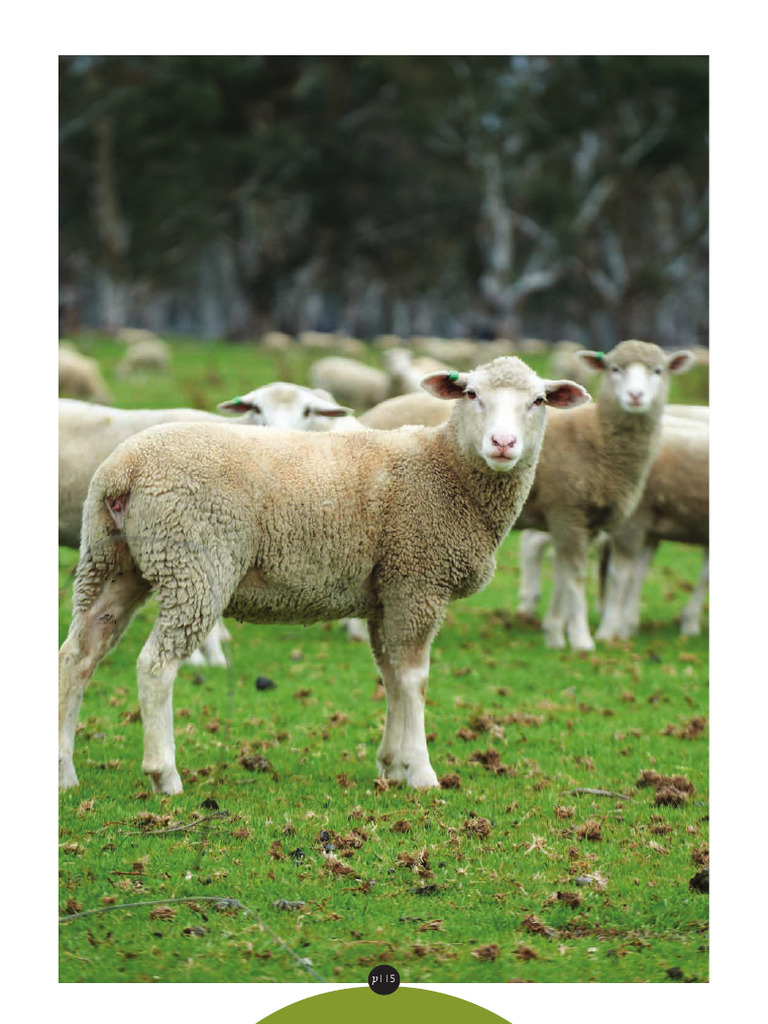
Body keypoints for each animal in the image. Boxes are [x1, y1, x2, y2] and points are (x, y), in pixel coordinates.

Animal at [58, 357, 590, 793]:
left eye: (538, 401)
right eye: (472, 394)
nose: (503, 443)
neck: (446, 470)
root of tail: (125, 469)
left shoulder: (388, 590)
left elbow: (390, 675)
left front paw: (391, 765)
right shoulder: (418, 580)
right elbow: (414, 679)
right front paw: (421, 772)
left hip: (112, 563)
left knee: (77, 656)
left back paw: (65, 772)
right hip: (195, 565)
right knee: (155, 666)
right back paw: (164, 774)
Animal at [513, 340, 695, 650]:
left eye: (658, 370)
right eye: (615, 369)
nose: (635, 396)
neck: (597, 438)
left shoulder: (583, 521)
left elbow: (562, 574)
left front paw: (556, 635)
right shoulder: (567, 510)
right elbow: (575, 576)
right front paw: (581, 640)